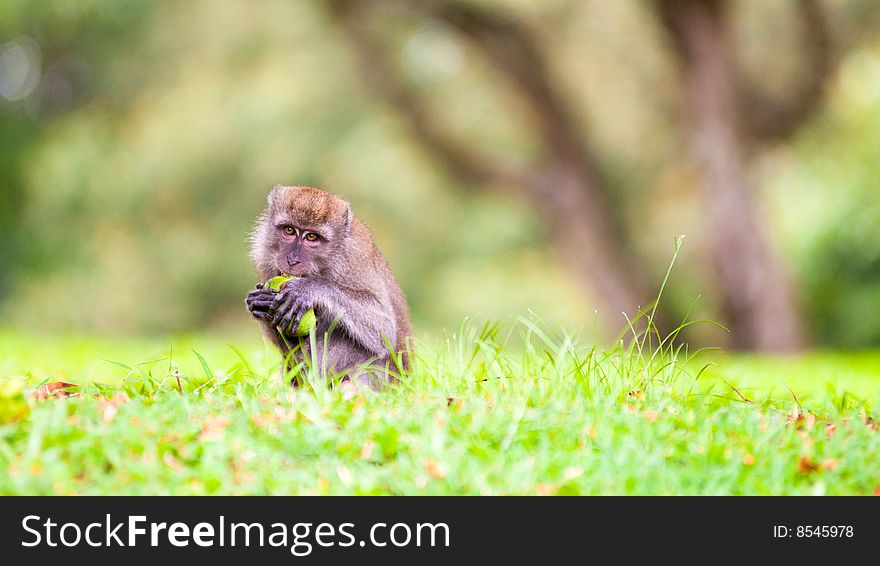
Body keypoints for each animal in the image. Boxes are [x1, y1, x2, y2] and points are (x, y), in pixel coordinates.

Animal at [245, 185, 412, 387]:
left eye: (311, 237)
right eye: (289, 230)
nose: (292, 260)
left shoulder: (356, 256)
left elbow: (384, 328)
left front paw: (310, 288)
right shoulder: (265, 260)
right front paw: (259, 302)